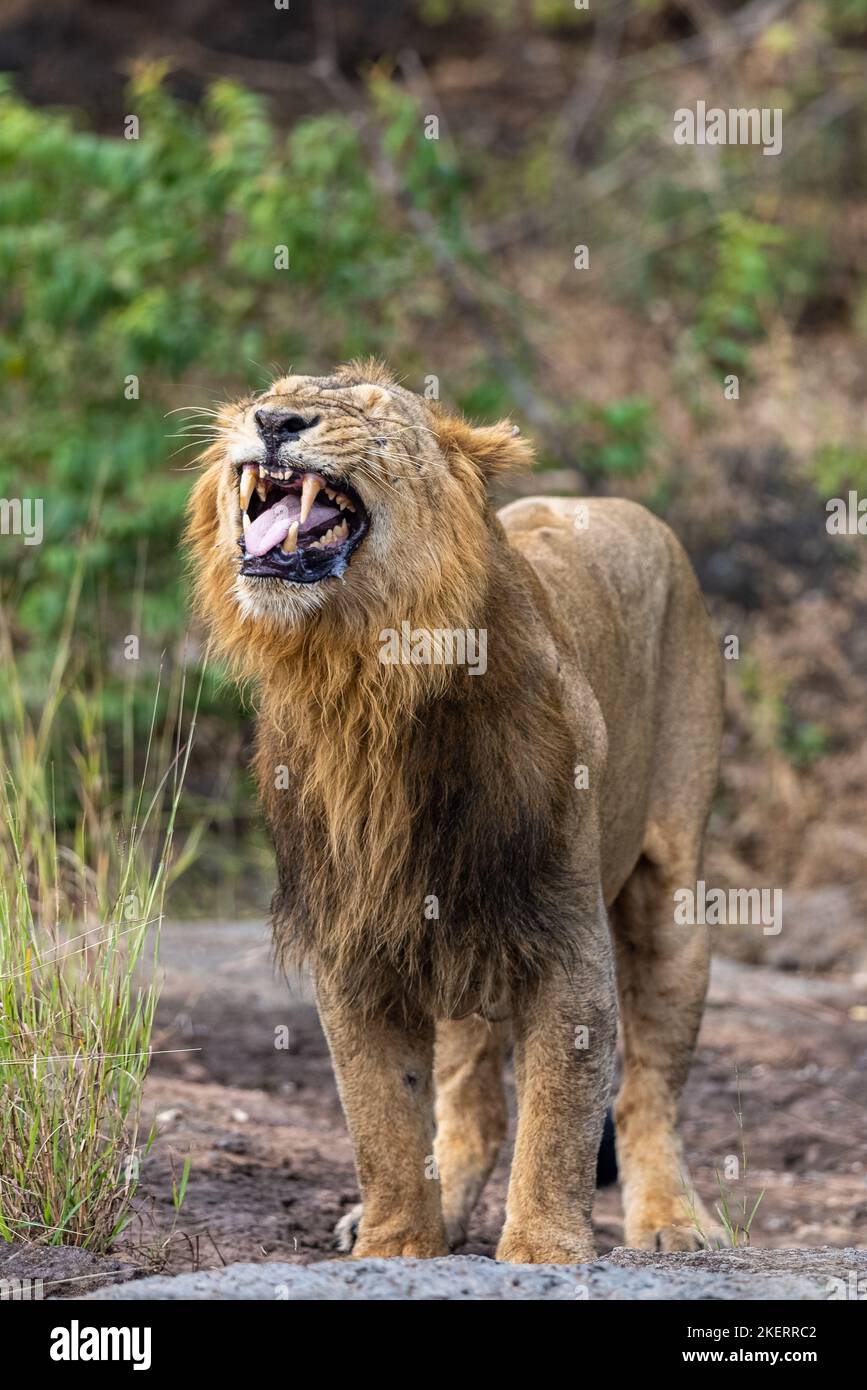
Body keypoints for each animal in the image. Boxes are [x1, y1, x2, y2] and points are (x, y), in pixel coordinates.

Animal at [185, 359, 724, 1263]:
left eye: (372, 413)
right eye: (272, 392)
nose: (274, 421)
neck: (365, 678)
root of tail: (619, 507)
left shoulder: (560, 931)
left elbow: (561, 1111)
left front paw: (543, 1247)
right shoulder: (360, 934)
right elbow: (382, 1118)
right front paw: (397, 1243)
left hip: (668, 896)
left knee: (645, 1093)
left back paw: (671, 1221)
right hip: (455, 933)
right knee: (472, 1108)